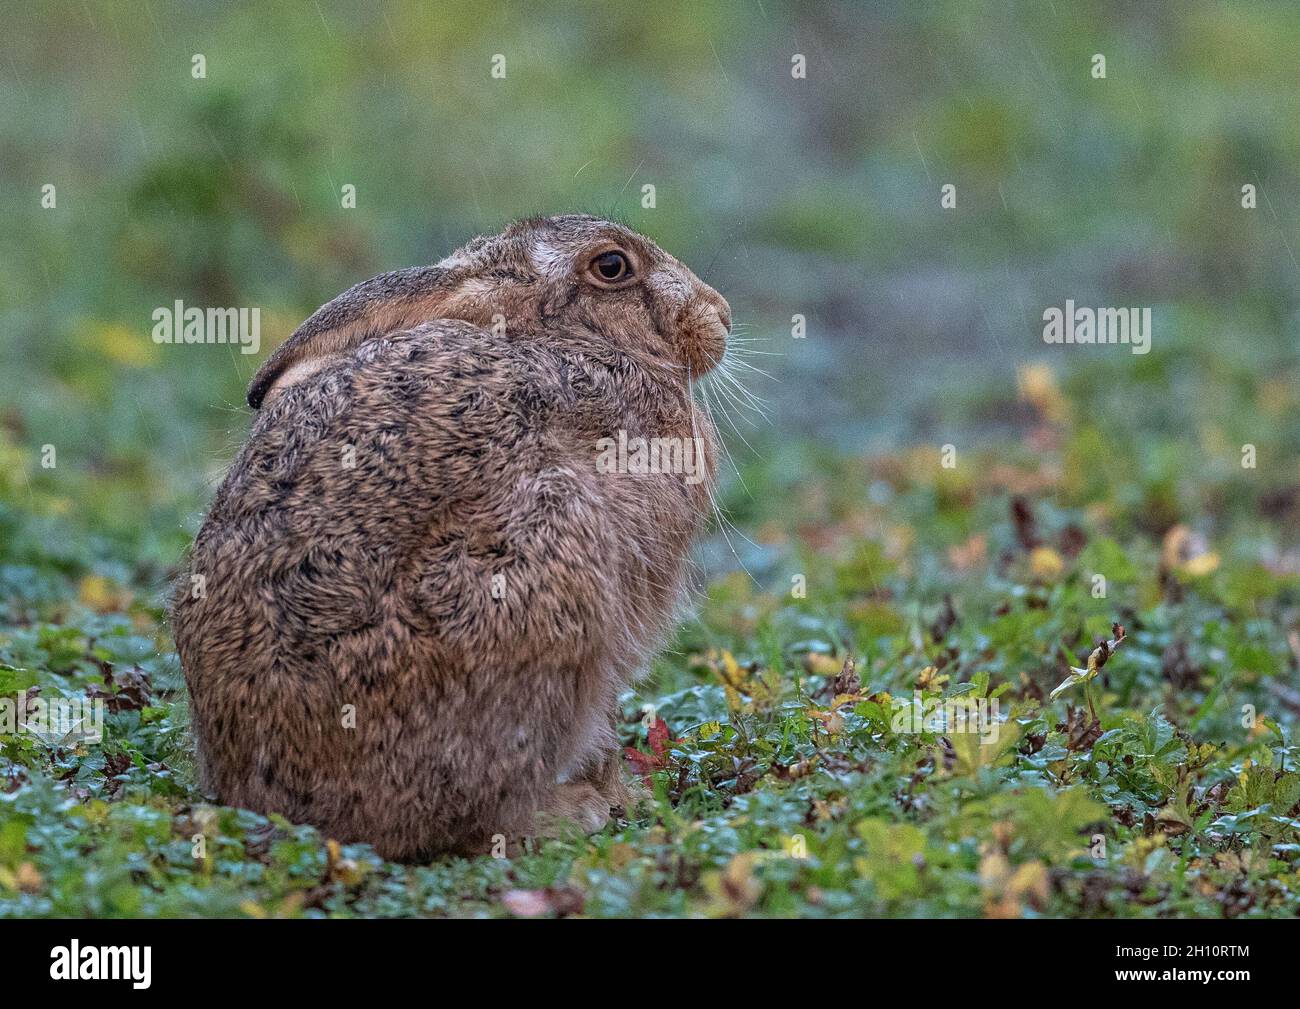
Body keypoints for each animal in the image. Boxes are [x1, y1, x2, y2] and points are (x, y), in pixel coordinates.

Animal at [172, 214, 731, 861]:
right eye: (612, 266)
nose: (721, 315)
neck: (576, 340)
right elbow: (607, 726)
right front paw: (626, 798)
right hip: (545, 558)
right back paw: (569, 813)